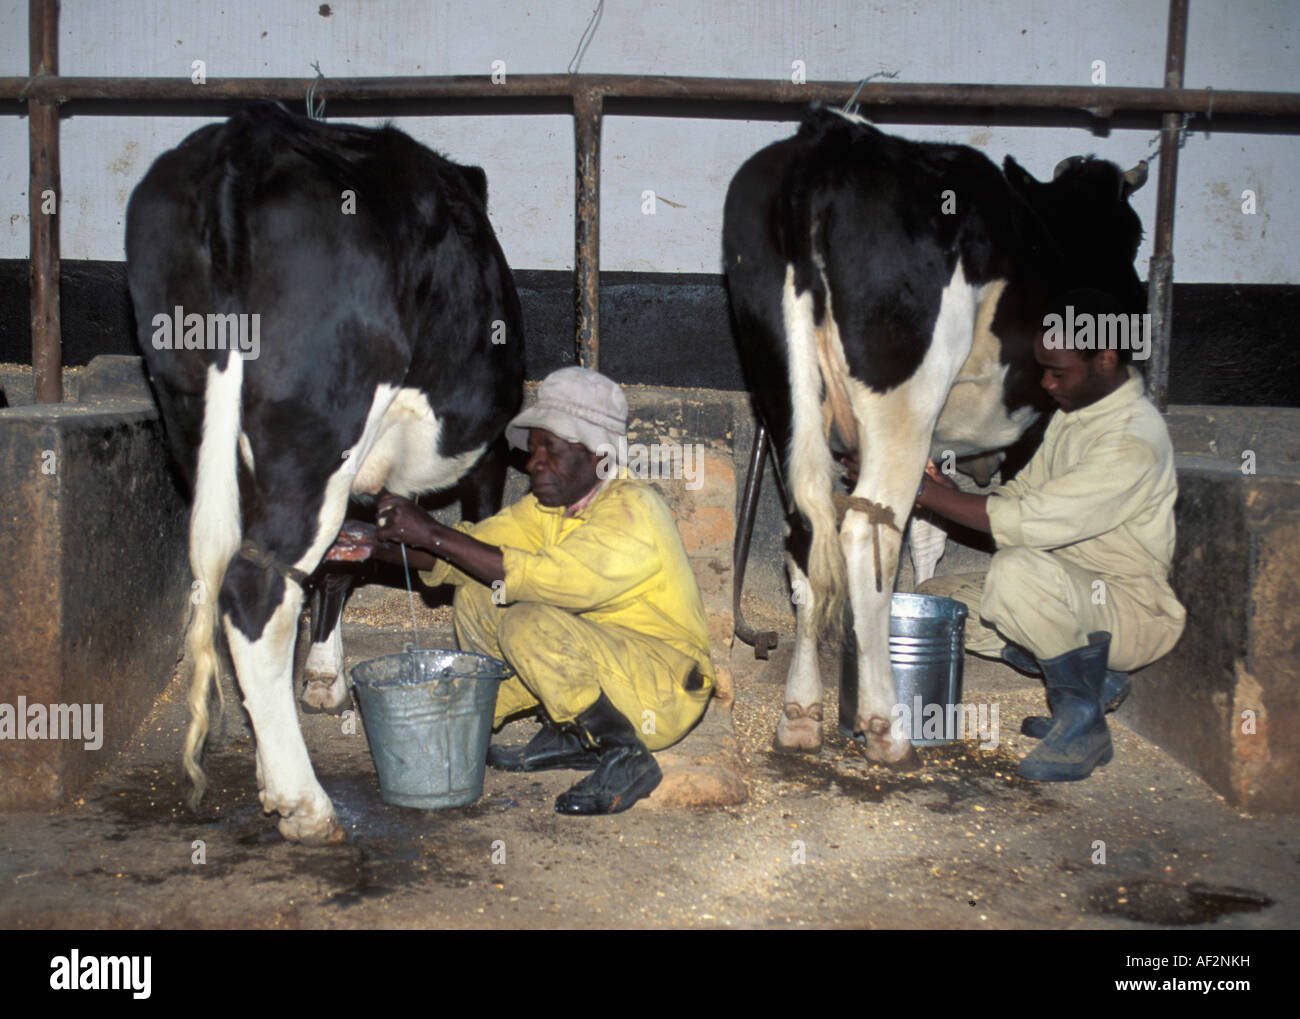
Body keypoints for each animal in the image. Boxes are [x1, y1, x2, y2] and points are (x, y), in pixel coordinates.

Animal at [126, 101, 524, 843]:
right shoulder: (488, 454)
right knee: (256, 590)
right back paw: (304, 803)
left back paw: (268, 762)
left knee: (233, 576)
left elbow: (339, 567)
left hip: (193, 413)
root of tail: (251, 132)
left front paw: (321, 673)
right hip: (319, 426)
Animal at [723, 105, 1146, 764]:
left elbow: (930, 531)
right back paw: (887, 729)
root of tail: (832, 140)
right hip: (902, 408)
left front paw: (927, 595)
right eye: (1136, 234)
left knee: (806, 543)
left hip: (784, 402)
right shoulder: (1034, 425)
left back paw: (801, 716)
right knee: (864, 537)